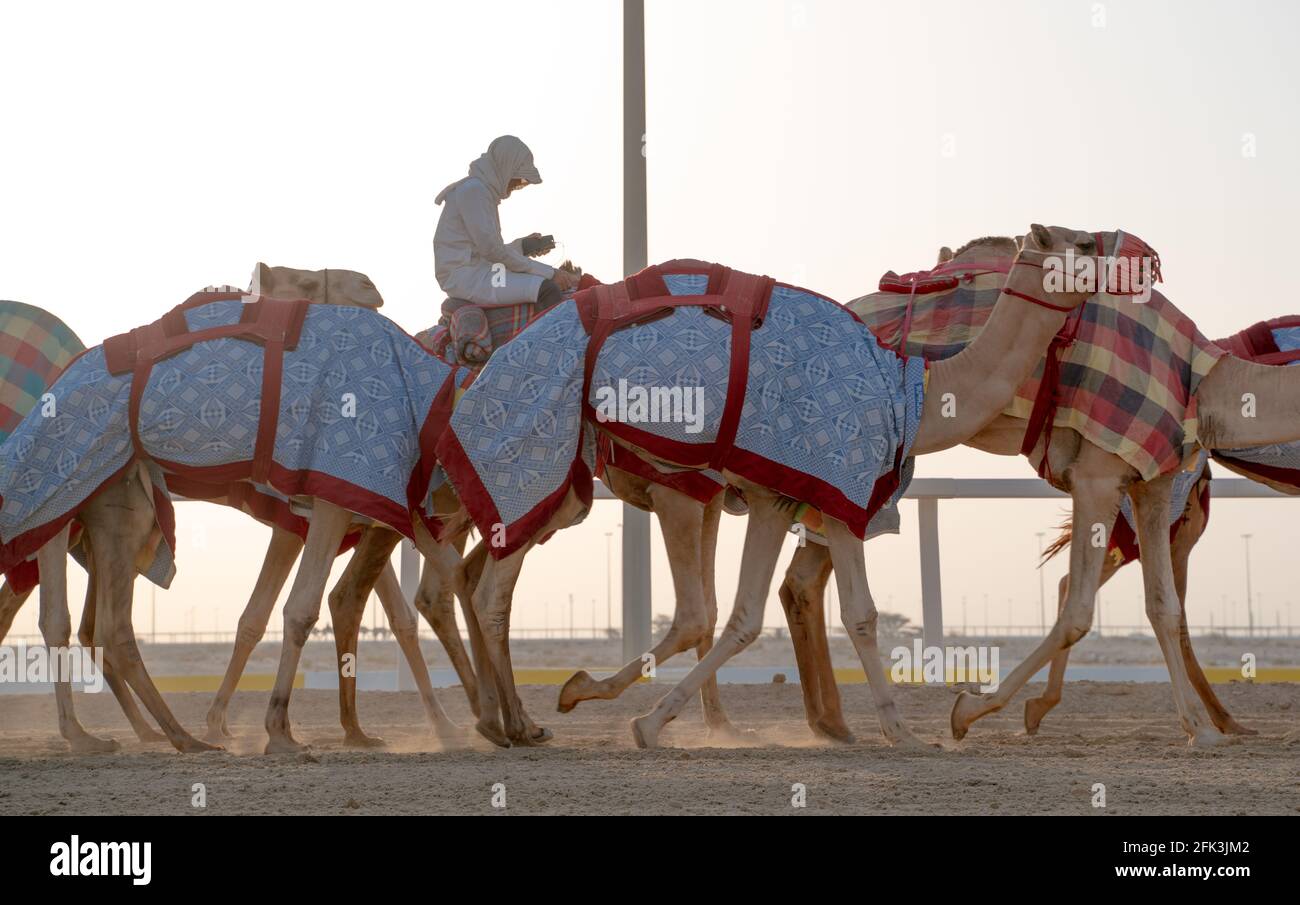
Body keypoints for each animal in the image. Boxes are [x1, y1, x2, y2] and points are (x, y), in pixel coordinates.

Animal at [441, 224, 1105, 749]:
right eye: (1081, 244)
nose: (1121, 267)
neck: (911, 398)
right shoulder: (805, 486)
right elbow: (774, 615)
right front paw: (640, 718)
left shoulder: (807, 496)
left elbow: (808, 615)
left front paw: (901, 731)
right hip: (542, 447)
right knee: (492, 590)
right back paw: (515, 724)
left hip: (567, 474)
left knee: (485, 579)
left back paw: (509, 722)